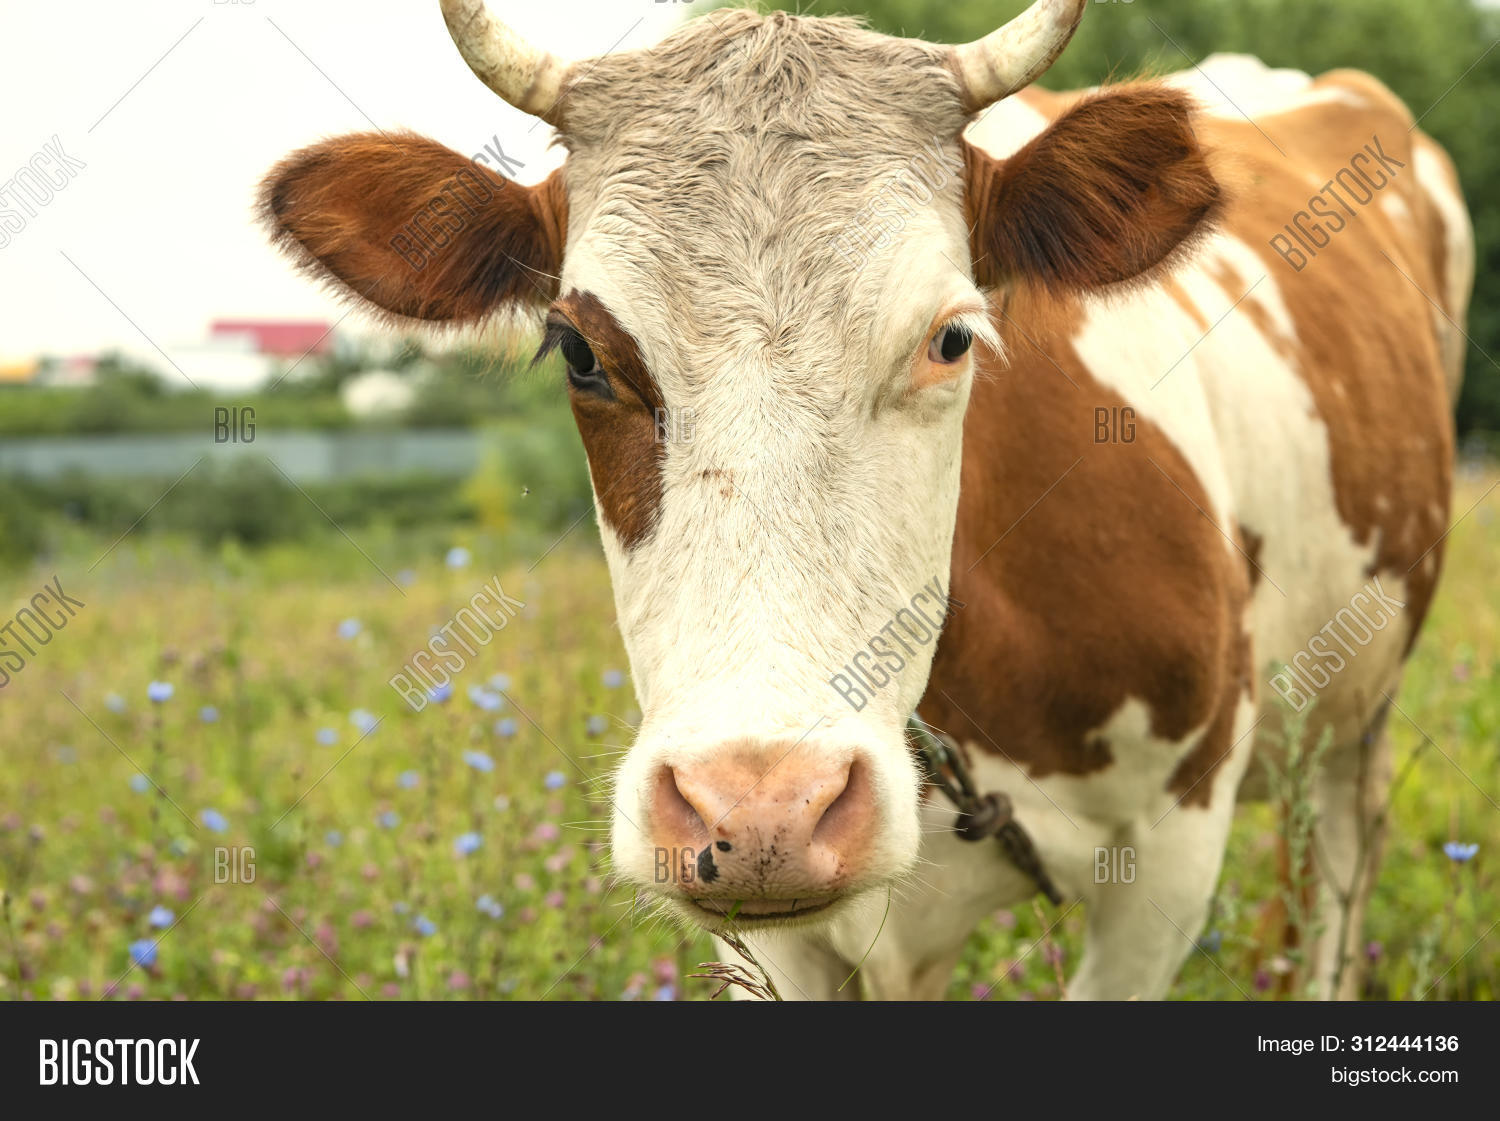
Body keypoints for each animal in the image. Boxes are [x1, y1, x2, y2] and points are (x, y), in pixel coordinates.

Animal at [259, 0, 1472, 999]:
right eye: (580, 351)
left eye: (953, 336)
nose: (763, 809)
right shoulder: (769, 937)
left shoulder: (1167, 863)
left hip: (1358, 711)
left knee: (1334, 877)